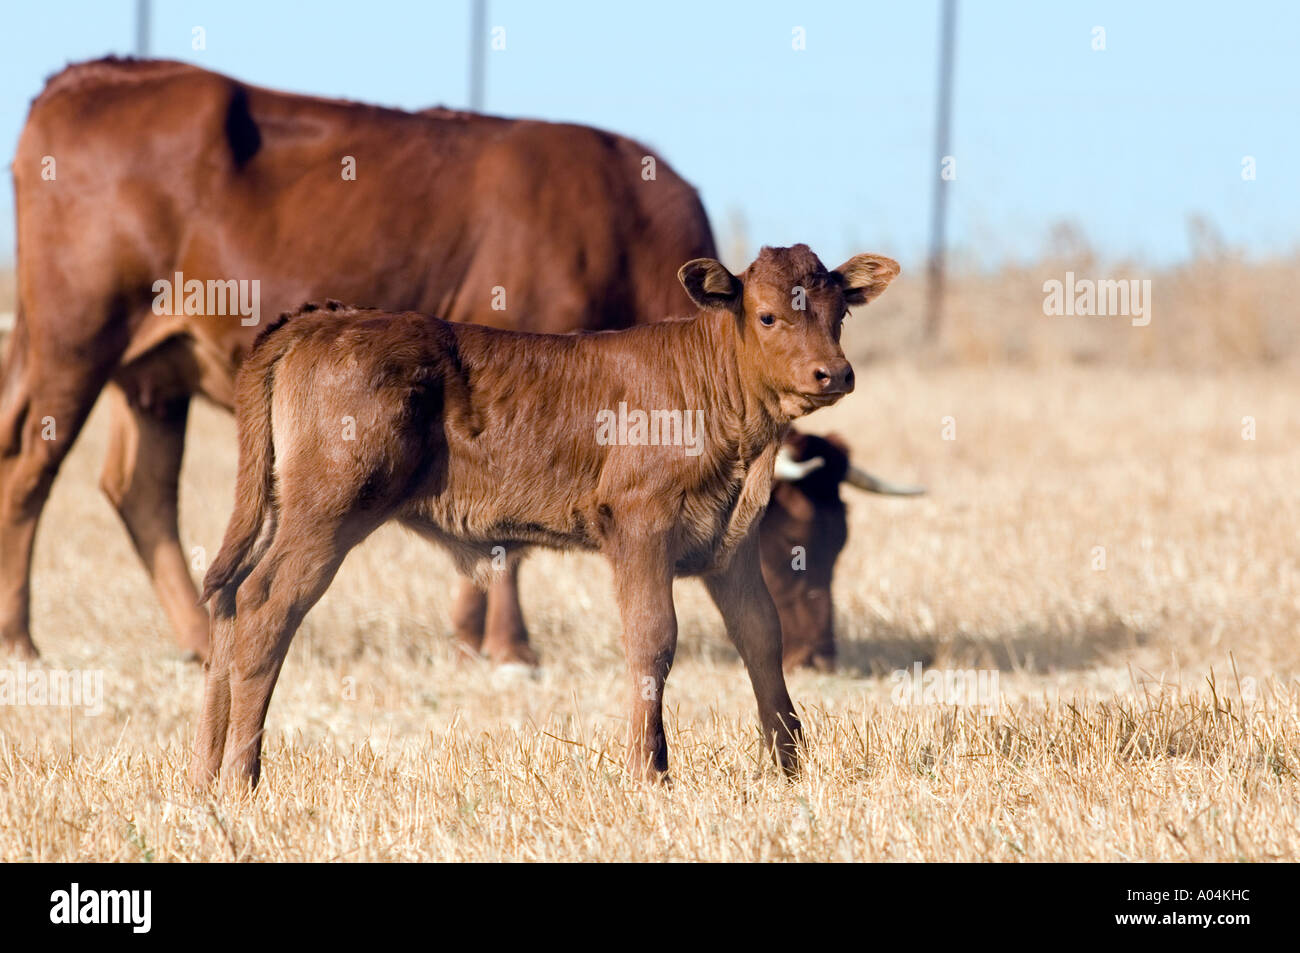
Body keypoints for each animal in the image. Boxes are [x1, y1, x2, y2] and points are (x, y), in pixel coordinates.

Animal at [190, 245, 900, 788]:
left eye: (839, 313)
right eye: (768, 315)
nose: (834, 374)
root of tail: (321, 320)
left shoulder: (730, 542)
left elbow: (760, 636)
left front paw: (791, 770)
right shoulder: (640, 527)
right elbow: (653, 639)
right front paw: (650, 773)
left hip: (280, 510)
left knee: (228, 597)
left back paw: (205, 775)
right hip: (326, 512)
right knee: (267, 605)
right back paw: (243, 778)